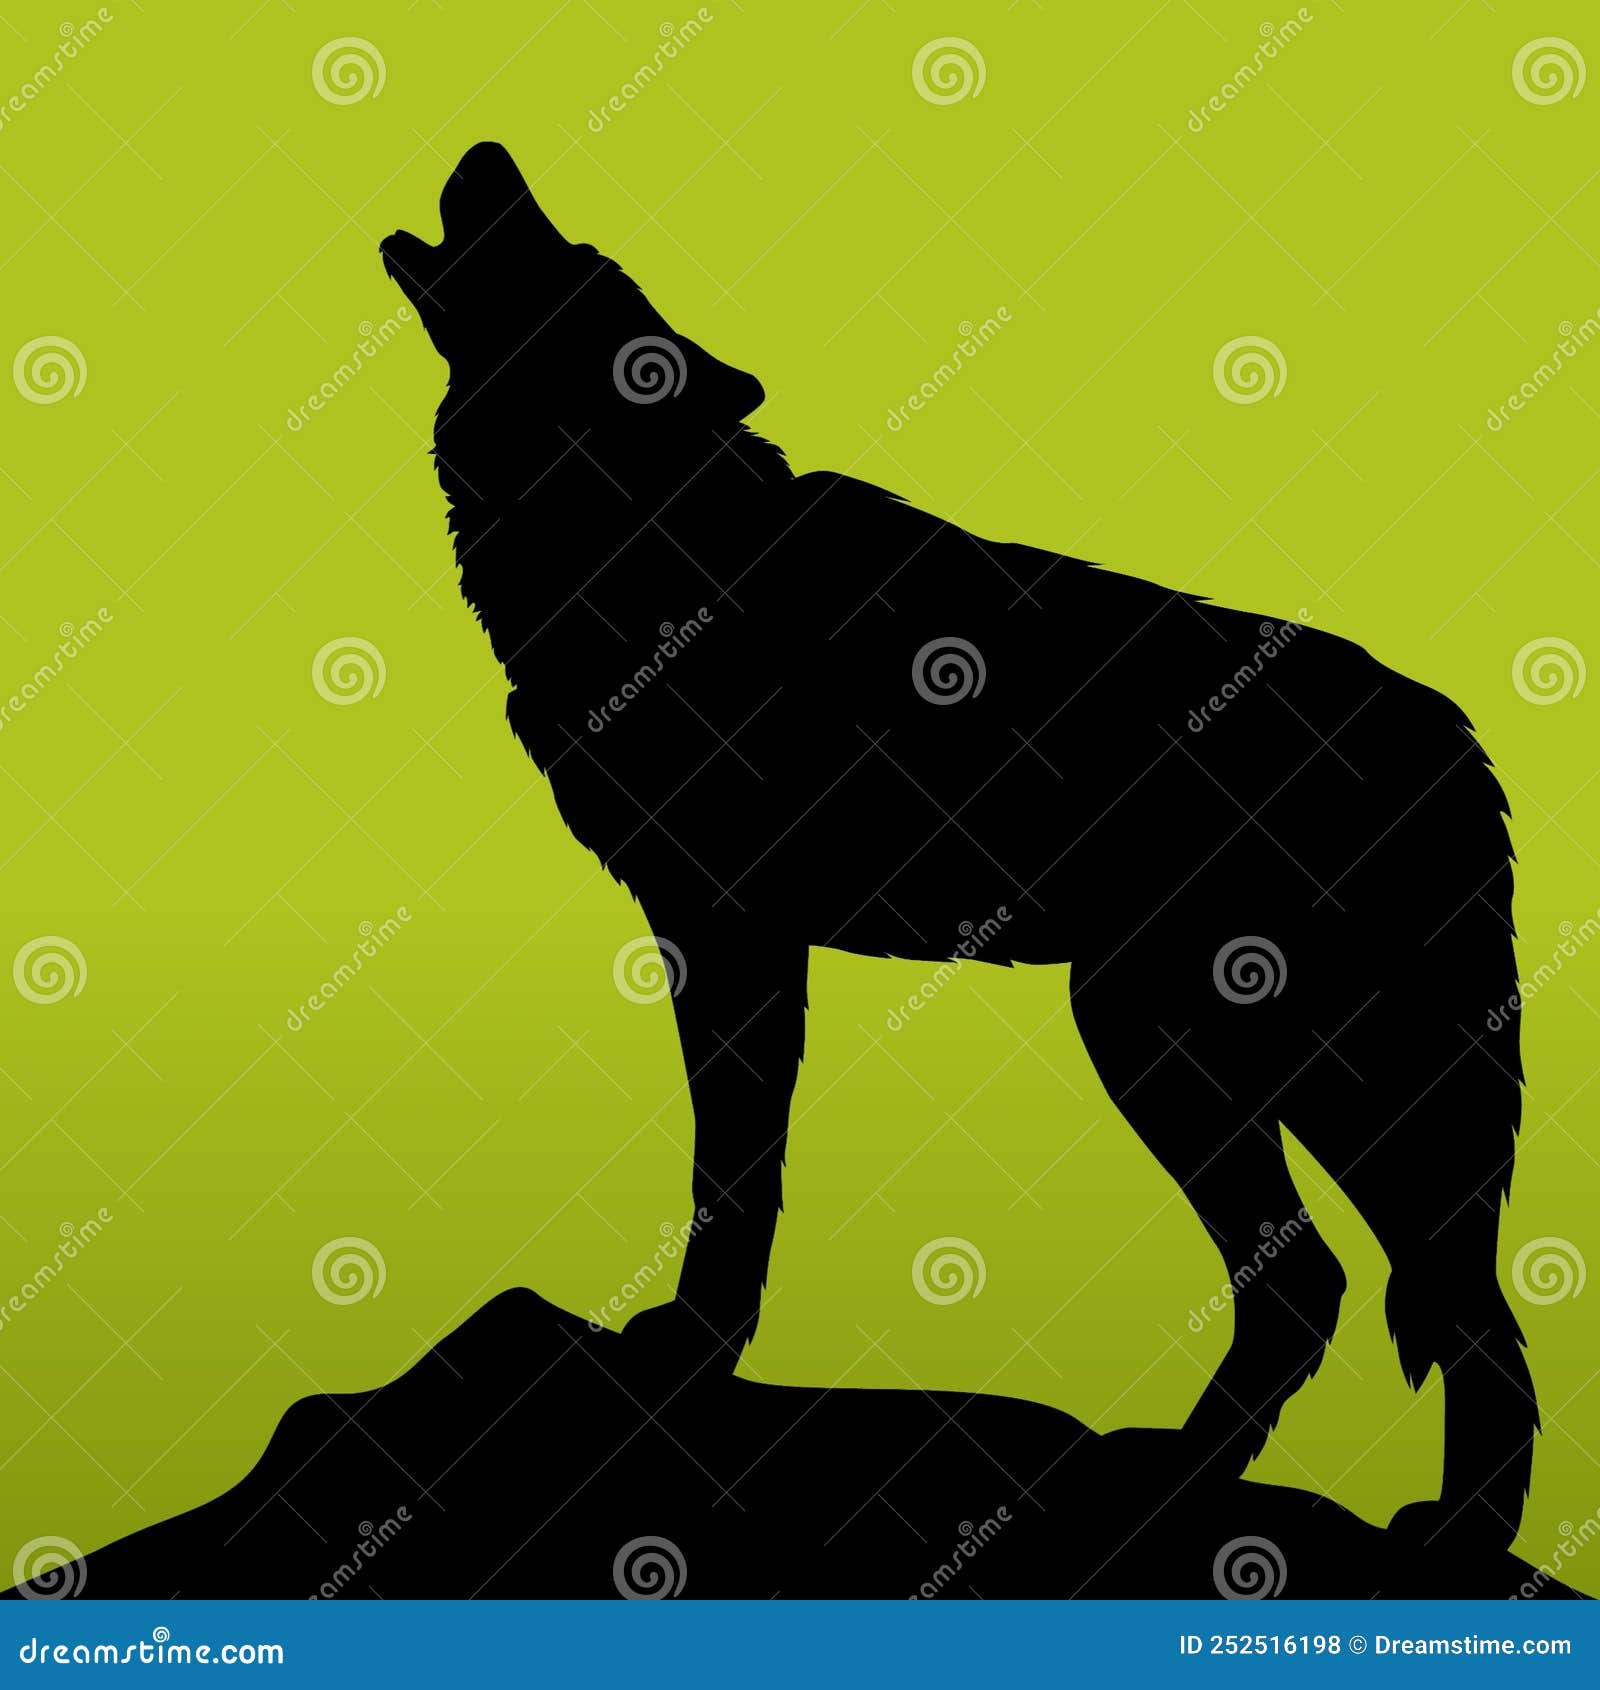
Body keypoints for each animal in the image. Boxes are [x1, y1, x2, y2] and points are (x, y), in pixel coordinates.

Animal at [382, 142, 1537, 1549]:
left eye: (569, 263)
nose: (488, 154)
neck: (650, 545)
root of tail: (1460, 741)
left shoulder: (730, 933)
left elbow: (734, 1176)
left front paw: (692, 1355)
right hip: (1281, 1069)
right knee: (1390, 1294)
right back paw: (1244, 1484)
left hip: (1196, 1047)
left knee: (1371, 1292)